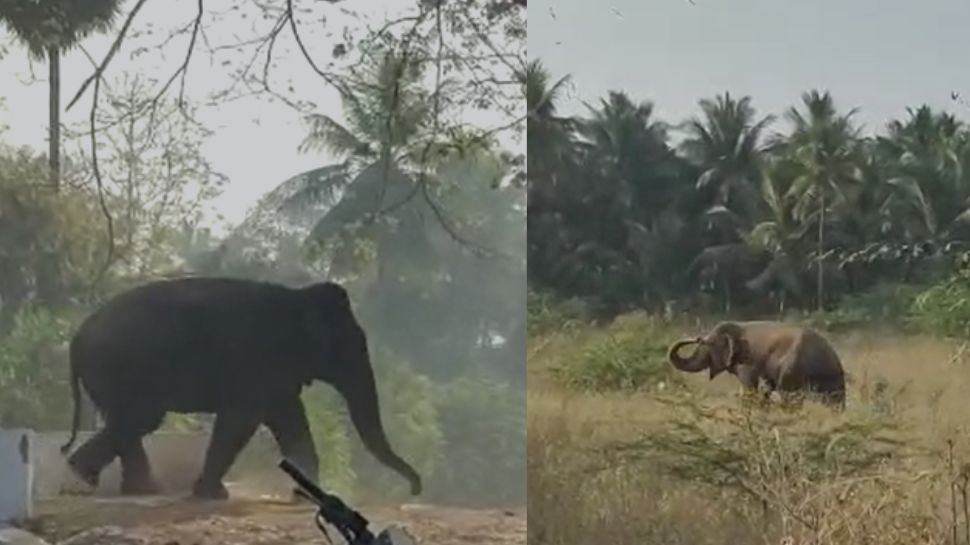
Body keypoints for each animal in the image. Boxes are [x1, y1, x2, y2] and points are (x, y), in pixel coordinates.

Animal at [59, 276, 422, 500]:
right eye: (355, 346)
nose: (415, 489)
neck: (297, 296)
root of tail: (76, 339)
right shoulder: (254, 359)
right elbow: (243, 418)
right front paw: (212, 495)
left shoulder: (276, 376)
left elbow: (291, 420)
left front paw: (307, 496)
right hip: (118, 370)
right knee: (140, 419)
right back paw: (112, 482)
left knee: (131, 423)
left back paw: (104, 480)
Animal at [667, 320, 846, 408]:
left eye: (706, 344)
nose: (697, 338)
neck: (738, 327)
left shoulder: (748, 362)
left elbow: (749, 387)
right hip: (832, 379)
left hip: (793, 369)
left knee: (789, 398)